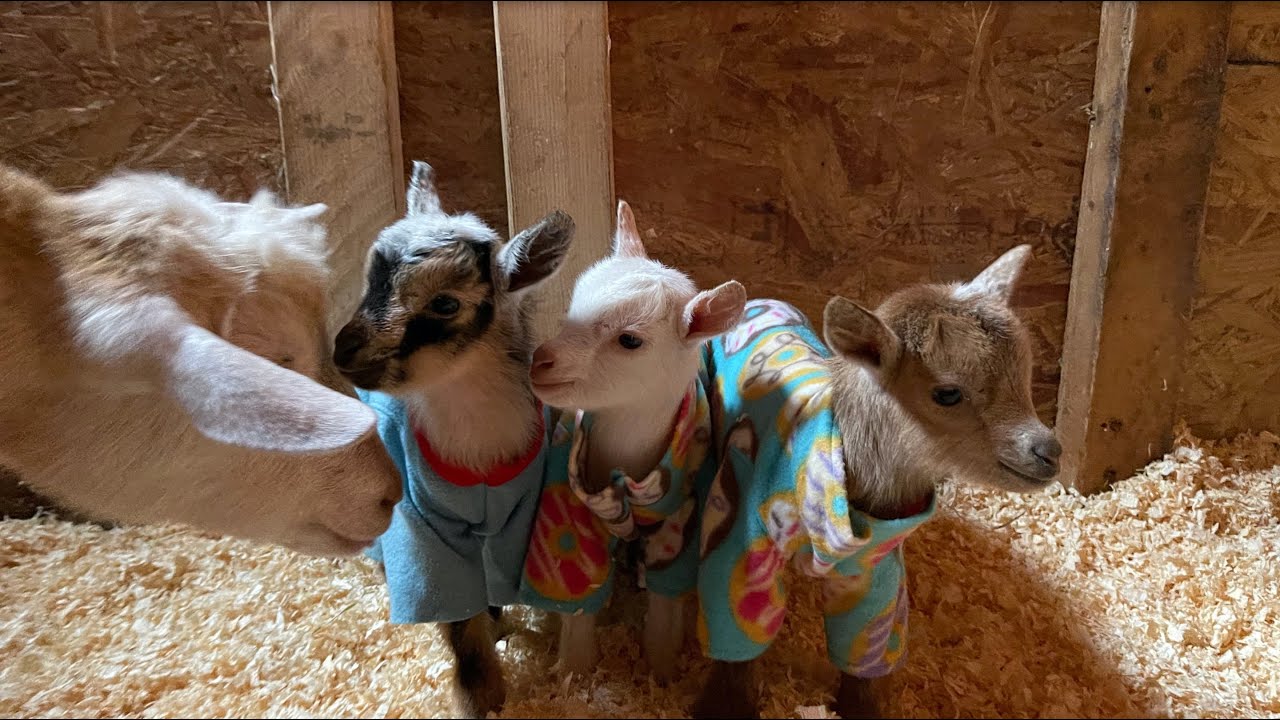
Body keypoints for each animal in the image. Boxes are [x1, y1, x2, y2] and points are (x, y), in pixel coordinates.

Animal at [332, 160, 574, 718]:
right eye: (370, 281)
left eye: (444, 303)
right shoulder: (425, 526)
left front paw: (514, 636)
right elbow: (460, 623)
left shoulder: (521, 519)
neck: (479, 456)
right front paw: (482, 697)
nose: (345, 349)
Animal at [518, 199, 746, 682]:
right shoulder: (568, 508)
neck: (623, 460)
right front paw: (574, 670)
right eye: (573, 305)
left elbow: (665, 595)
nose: (541, 362)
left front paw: (661, 669)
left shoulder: (681, 519)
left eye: (629, 340)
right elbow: (576, 589)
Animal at [691, 245, 1062, 719]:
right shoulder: (744, 538)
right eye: (947, 393)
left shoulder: (874, 568)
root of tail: (757, 297)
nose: (1048, 452)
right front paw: (725, 704)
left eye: (1027, 373)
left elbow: (866, 638)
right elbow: (737, 625)